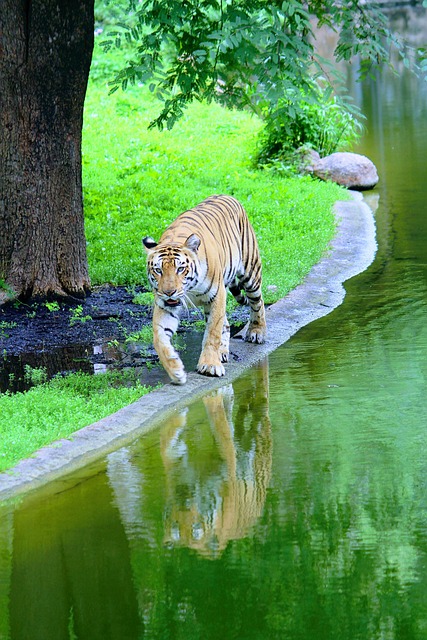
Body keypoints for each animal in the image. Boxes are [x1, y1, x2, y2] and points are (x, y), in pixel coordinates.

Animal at [142, 194, 266, 385]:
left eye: (180, 269)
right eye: (158, 270)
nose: (169, 292)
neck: (189, 290)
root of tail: (227, 195)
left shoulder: (217, 296)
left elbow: (212, 333)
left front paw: (209, 366)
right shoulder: (165, 305)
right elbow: (159, 338)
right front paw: (176, 371)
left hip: (250, 272)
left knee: (257, 302)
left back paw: (256, 332)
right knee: (227, 324)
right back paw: (223, 352)